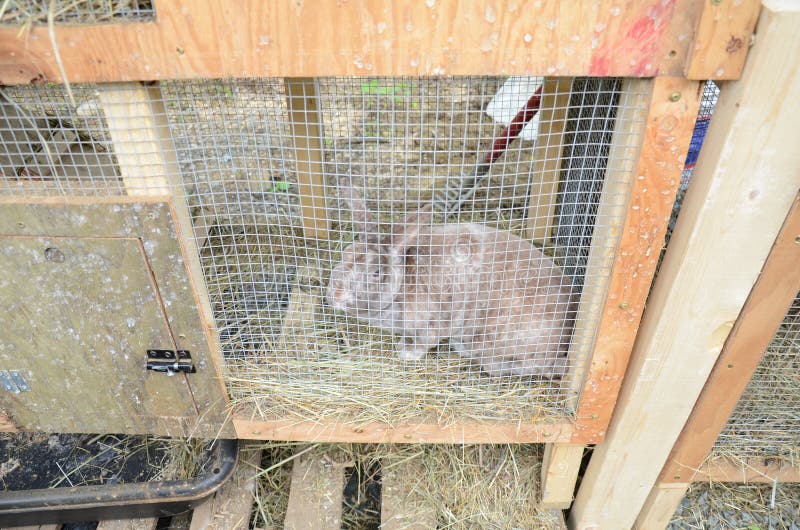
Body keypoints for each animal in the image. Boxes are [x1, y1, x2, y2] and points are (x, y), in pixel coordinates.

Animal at [326, 182, 576, 378]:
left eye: (376, 272)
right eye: (345, 253)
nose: (334, 295)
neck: (403, 282)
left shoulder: (432, 324)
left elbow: (423, 342)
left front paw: (406, 353)